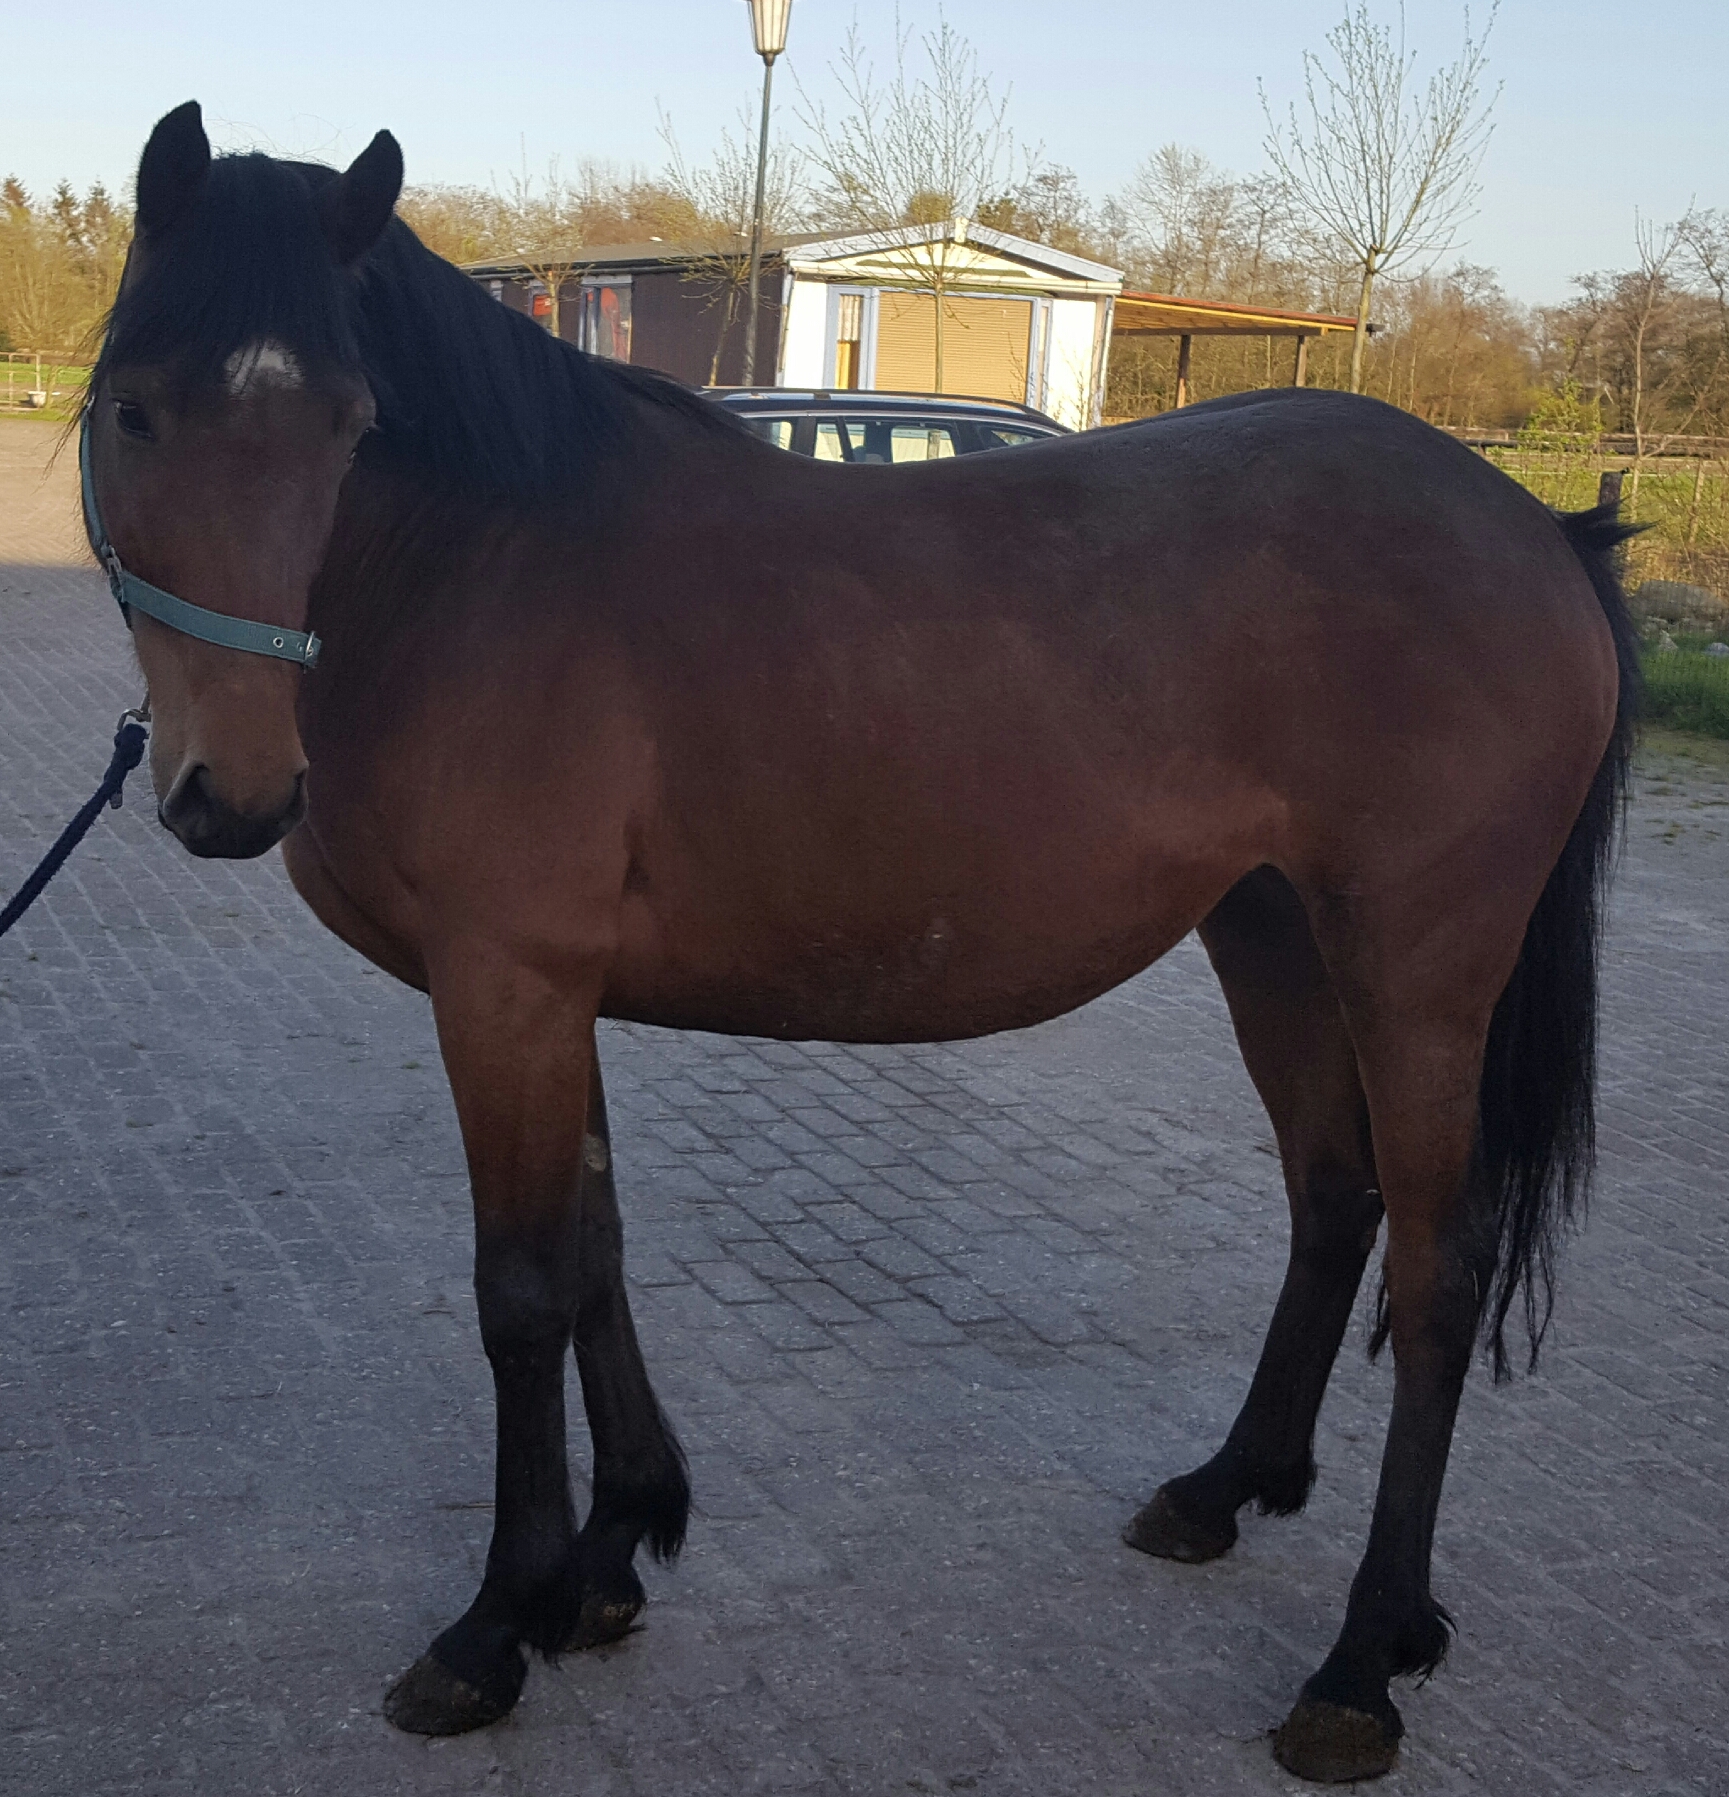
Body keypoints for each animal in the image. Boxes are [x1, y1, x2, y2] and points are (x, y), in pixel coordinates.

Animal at [77, 101, 1638, 1783]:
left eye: (352, 424)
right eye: (134, 413)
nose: (232, 791)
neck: (479, 564)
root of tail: (1536, 529)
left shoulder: (504, 988)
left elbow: (523, 1289)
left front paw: (497, 1624)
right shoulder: (554, 995)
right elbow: (595, 1249)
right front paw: (613, 1555)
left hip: (1417, 969)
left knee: (1437, 1266)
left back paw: (1361, 1662)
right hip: (1272, 931)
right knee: (1333, 1199)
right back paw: (1225, 1490)